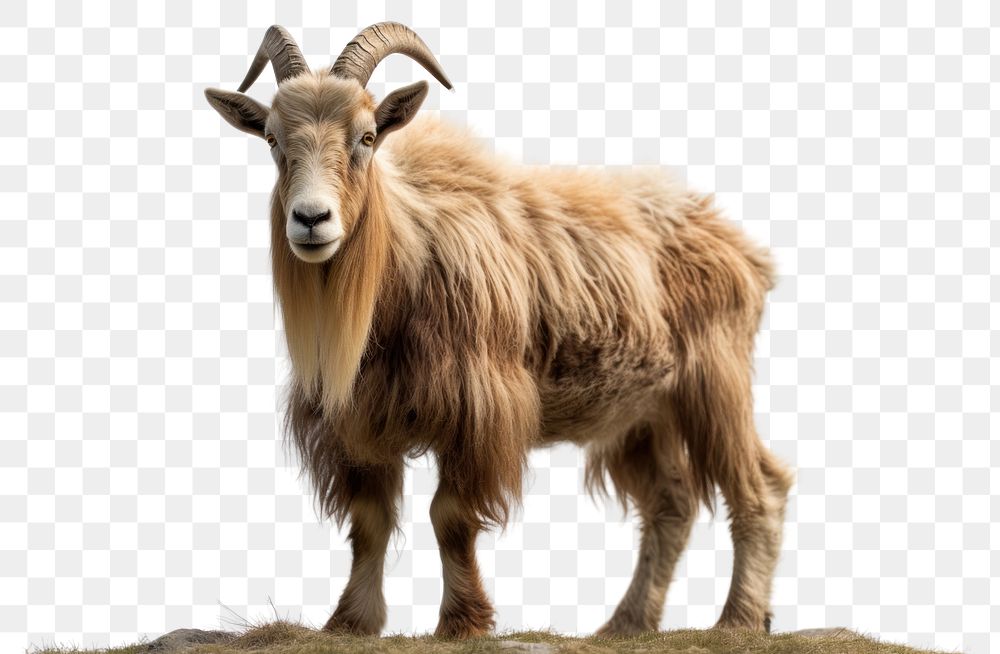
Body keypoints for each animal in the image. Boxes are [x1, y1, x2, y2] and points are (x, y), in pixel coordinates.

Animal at [205, 23, 793, 638]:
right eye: (272, 139)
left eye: (366, 137)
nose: (311, 219)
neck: (402, 267)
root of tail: (743, 251)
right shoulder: (356, 424)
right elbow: (369, 520)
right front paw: (350, 621)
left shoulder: (481, 410)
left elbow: (451, 516)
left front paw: (461, 621)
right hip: (642, 413)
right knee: (670, 505)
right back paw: (627, 623)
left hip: (714, 382)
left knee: (760, 490)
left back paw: (738, 619)